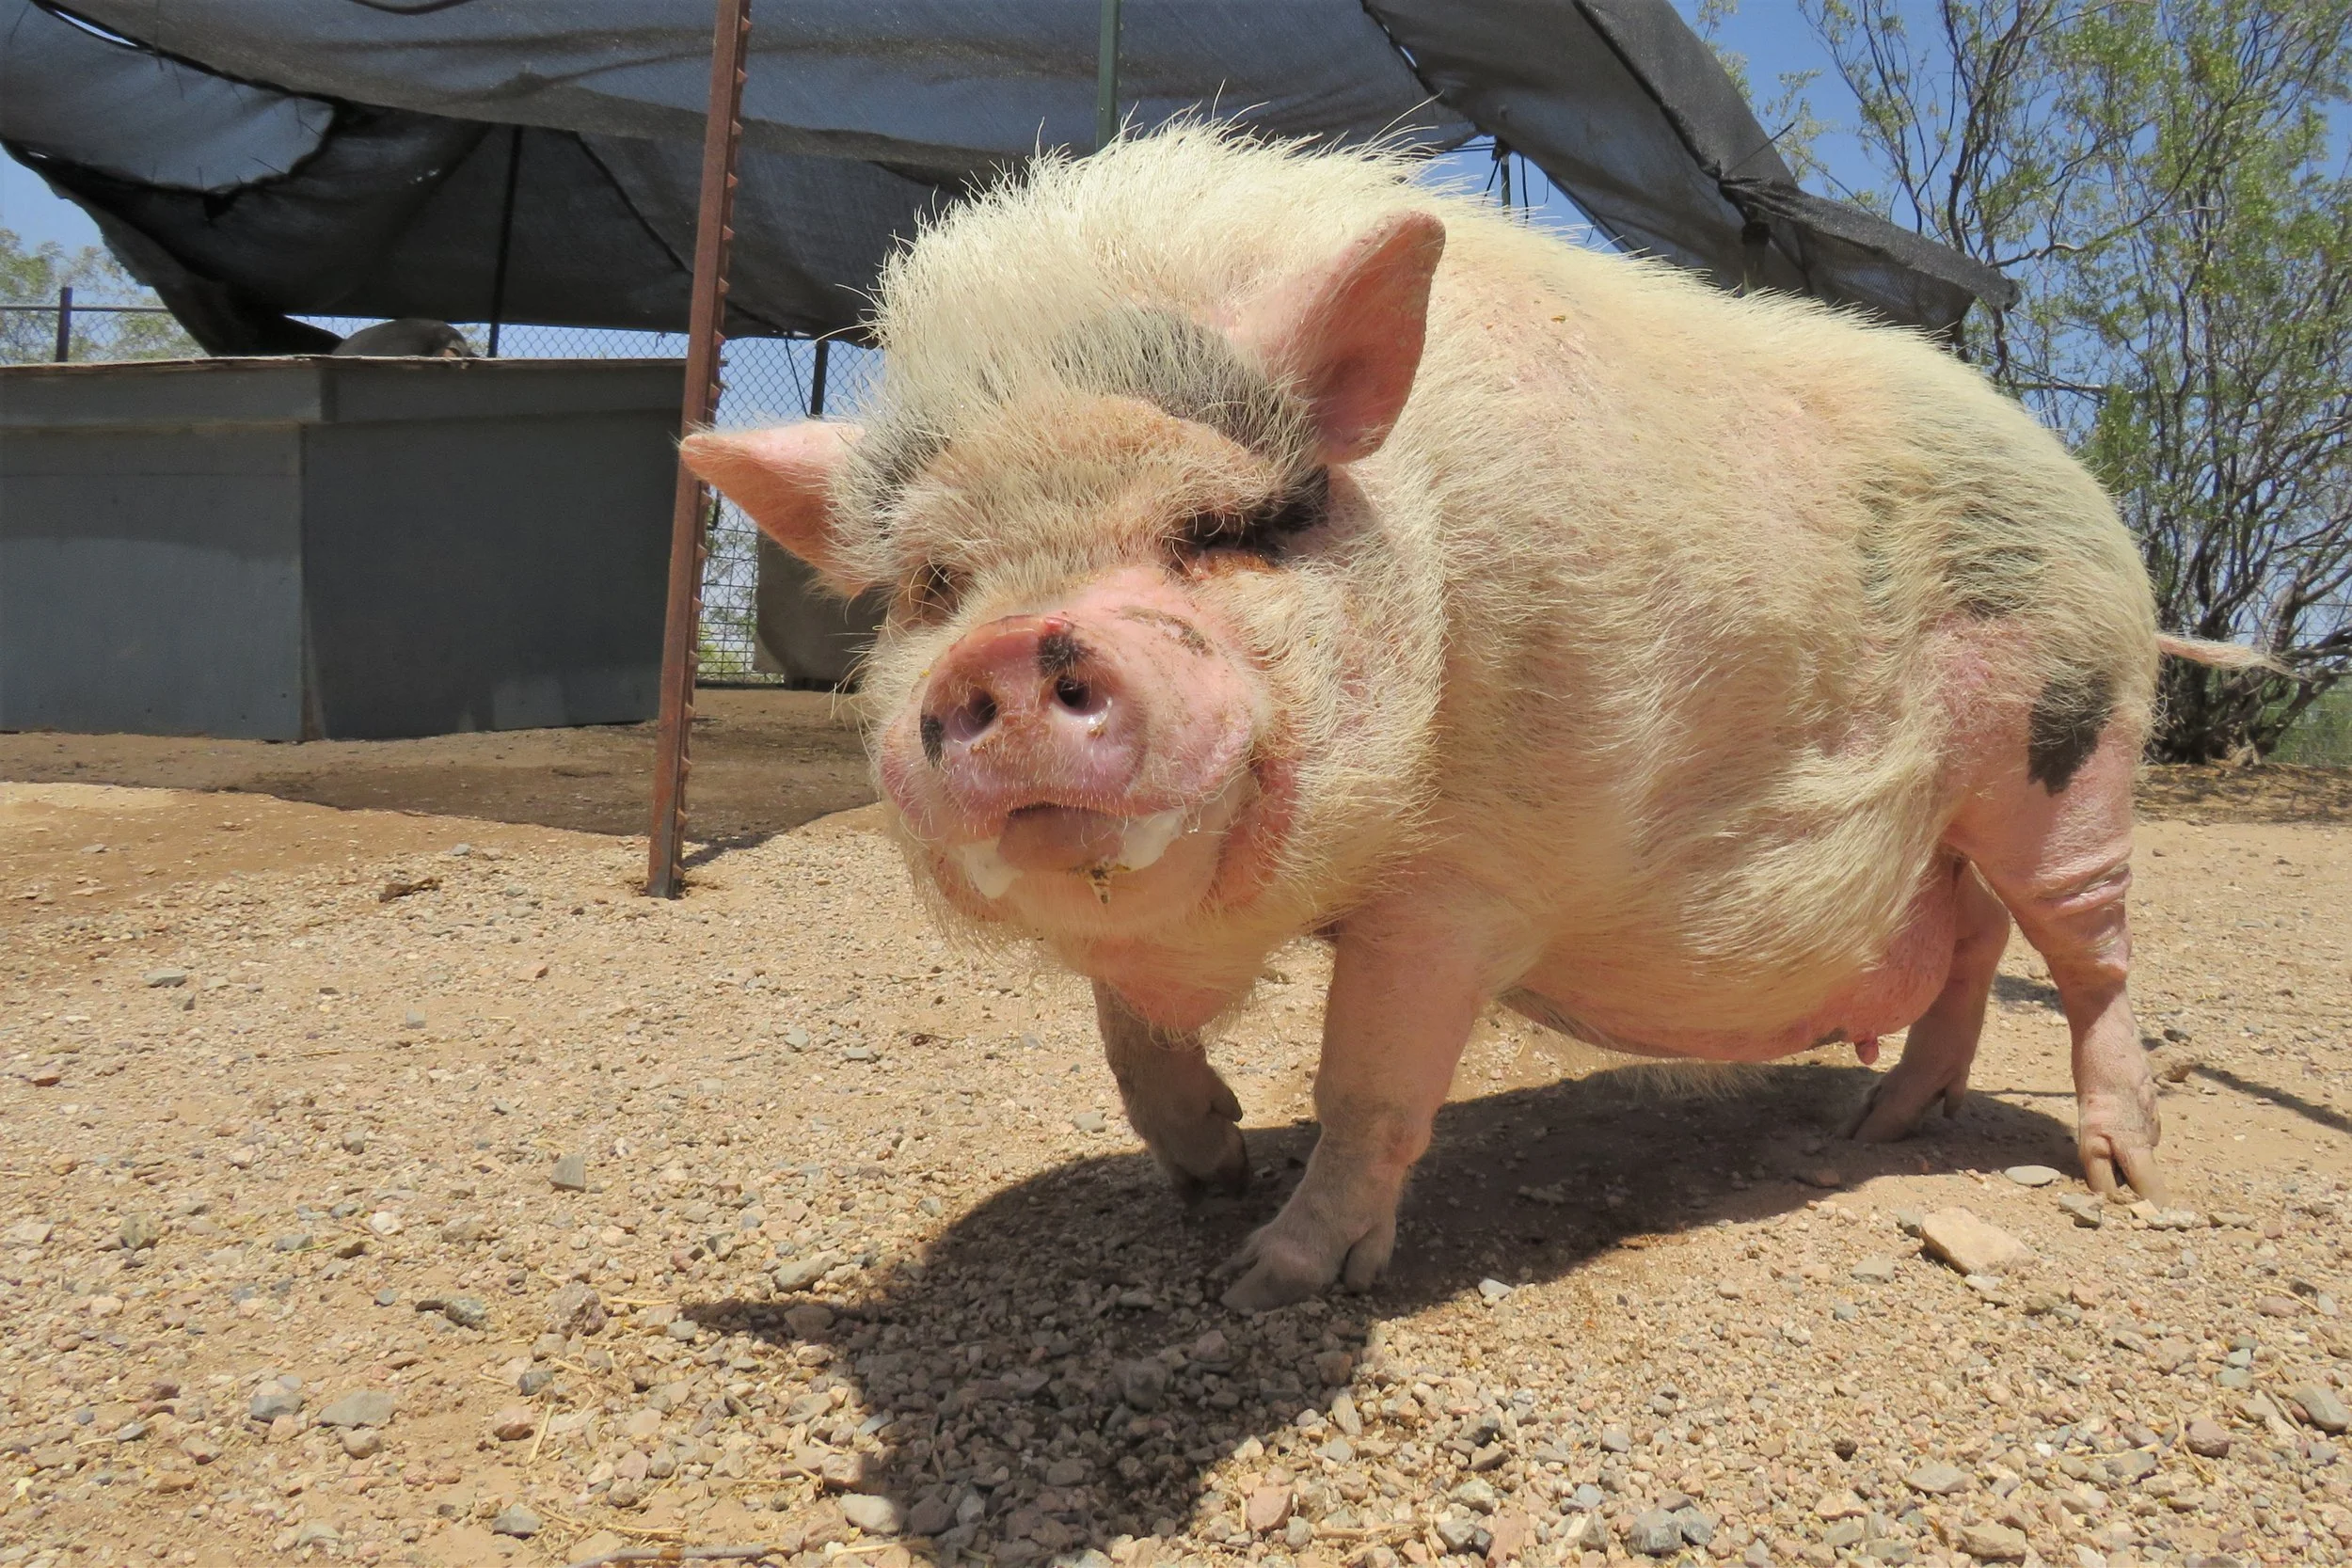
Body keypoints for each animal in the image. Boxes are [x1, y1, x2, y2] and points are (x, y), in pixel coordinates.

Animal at [685, 126, 2233, 1310]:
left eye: (1219, 530)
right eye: (933, 584)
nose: (1009, 652)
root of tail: (2089, 501)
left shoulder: (1463, 887)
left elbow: (1369, 1083)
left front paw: (1266, 1280)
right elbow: (1130, 1037)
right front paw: (1210, 1168)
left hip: (2069, 746)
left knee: (2086, 952)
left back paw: (2122, 1171)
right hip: (1955, 830)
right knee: (1968, 939)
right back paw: (1875, 1122)